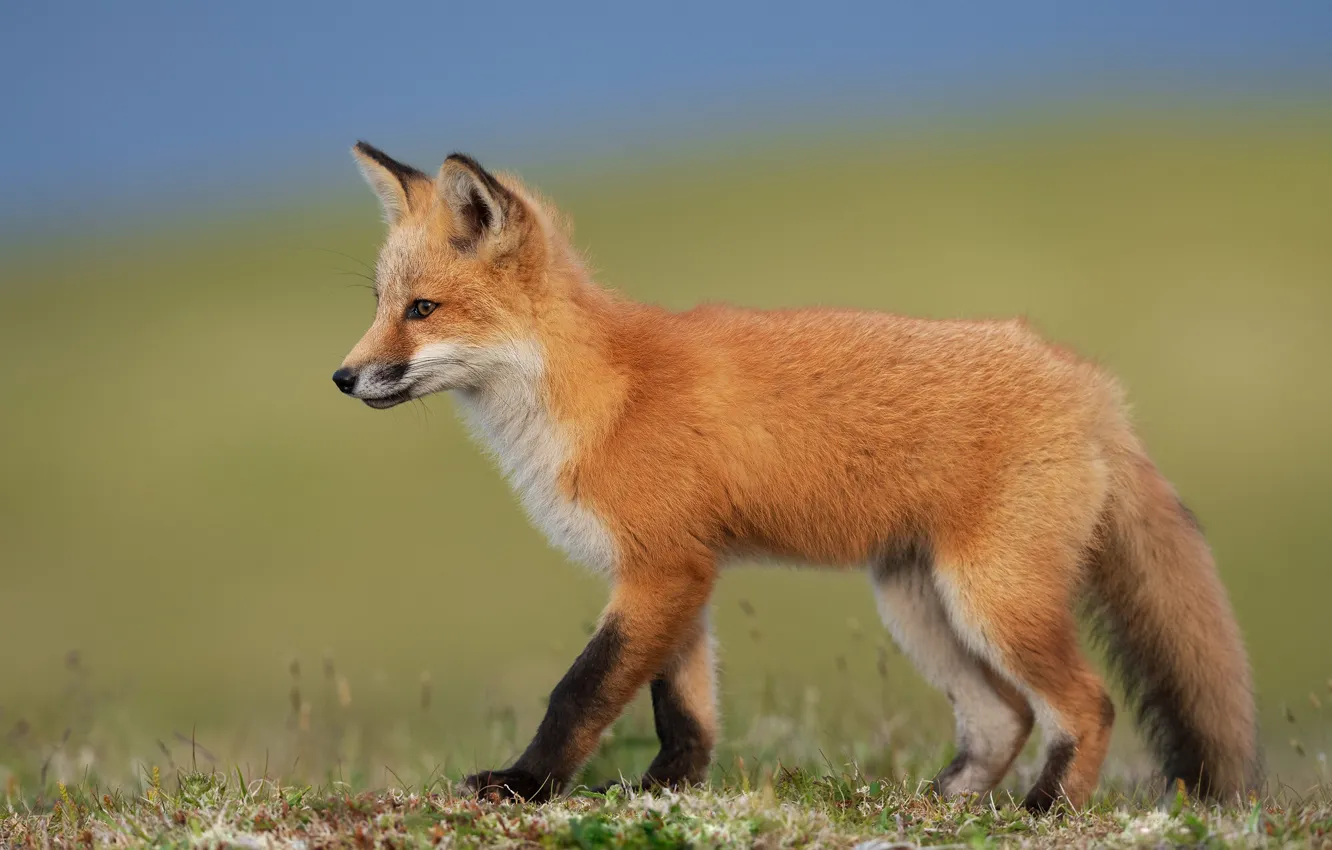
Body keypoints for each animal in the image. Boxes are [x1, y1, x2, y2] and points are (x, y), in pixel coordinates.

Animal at [332, 141, 1258, 810]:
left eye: (422, 310)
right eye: (379, 305)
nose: (342, 378)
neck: (594, 393)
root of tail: (1091, 383)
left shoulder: (661, 570)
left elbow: (580, 692)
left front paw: (526, 785)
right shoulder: (677, 571)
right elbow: (684, 712)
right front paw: (666, 791)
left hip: (993, 597)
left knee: (1087, 702)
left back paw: (1046, 810)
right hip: (918, 603)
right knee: (1006, 715)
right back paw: (943, 801)